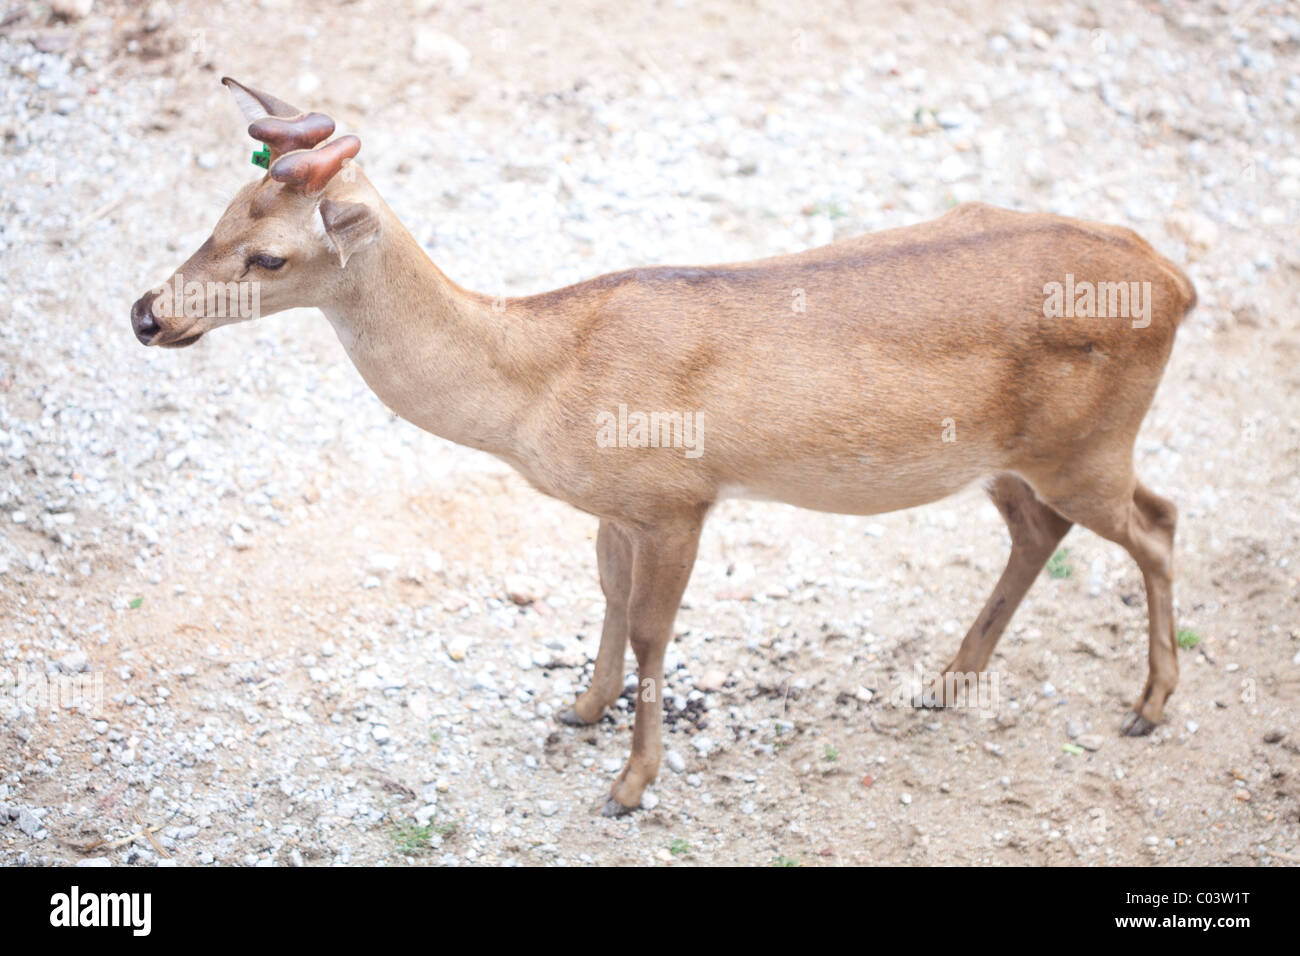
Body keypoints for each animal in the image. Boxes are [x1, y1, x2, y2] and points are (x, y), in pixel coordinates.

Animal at [131, 78, 1198, 816]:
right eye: (218, 216)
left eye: (270, 255)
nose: (147, 313)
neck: (541, 382)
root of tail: (1176, 281)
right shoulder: (615, 504)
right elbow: (605, 599)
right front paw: (580, 708)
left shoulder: (679, 496)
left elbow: (653, 629)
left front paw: (630, 786)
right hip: (1006, 456)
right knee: (1040, 529)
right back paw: (946, 683)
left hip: (1089, 444)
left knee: (1157, 520)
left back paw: (1148, 705)